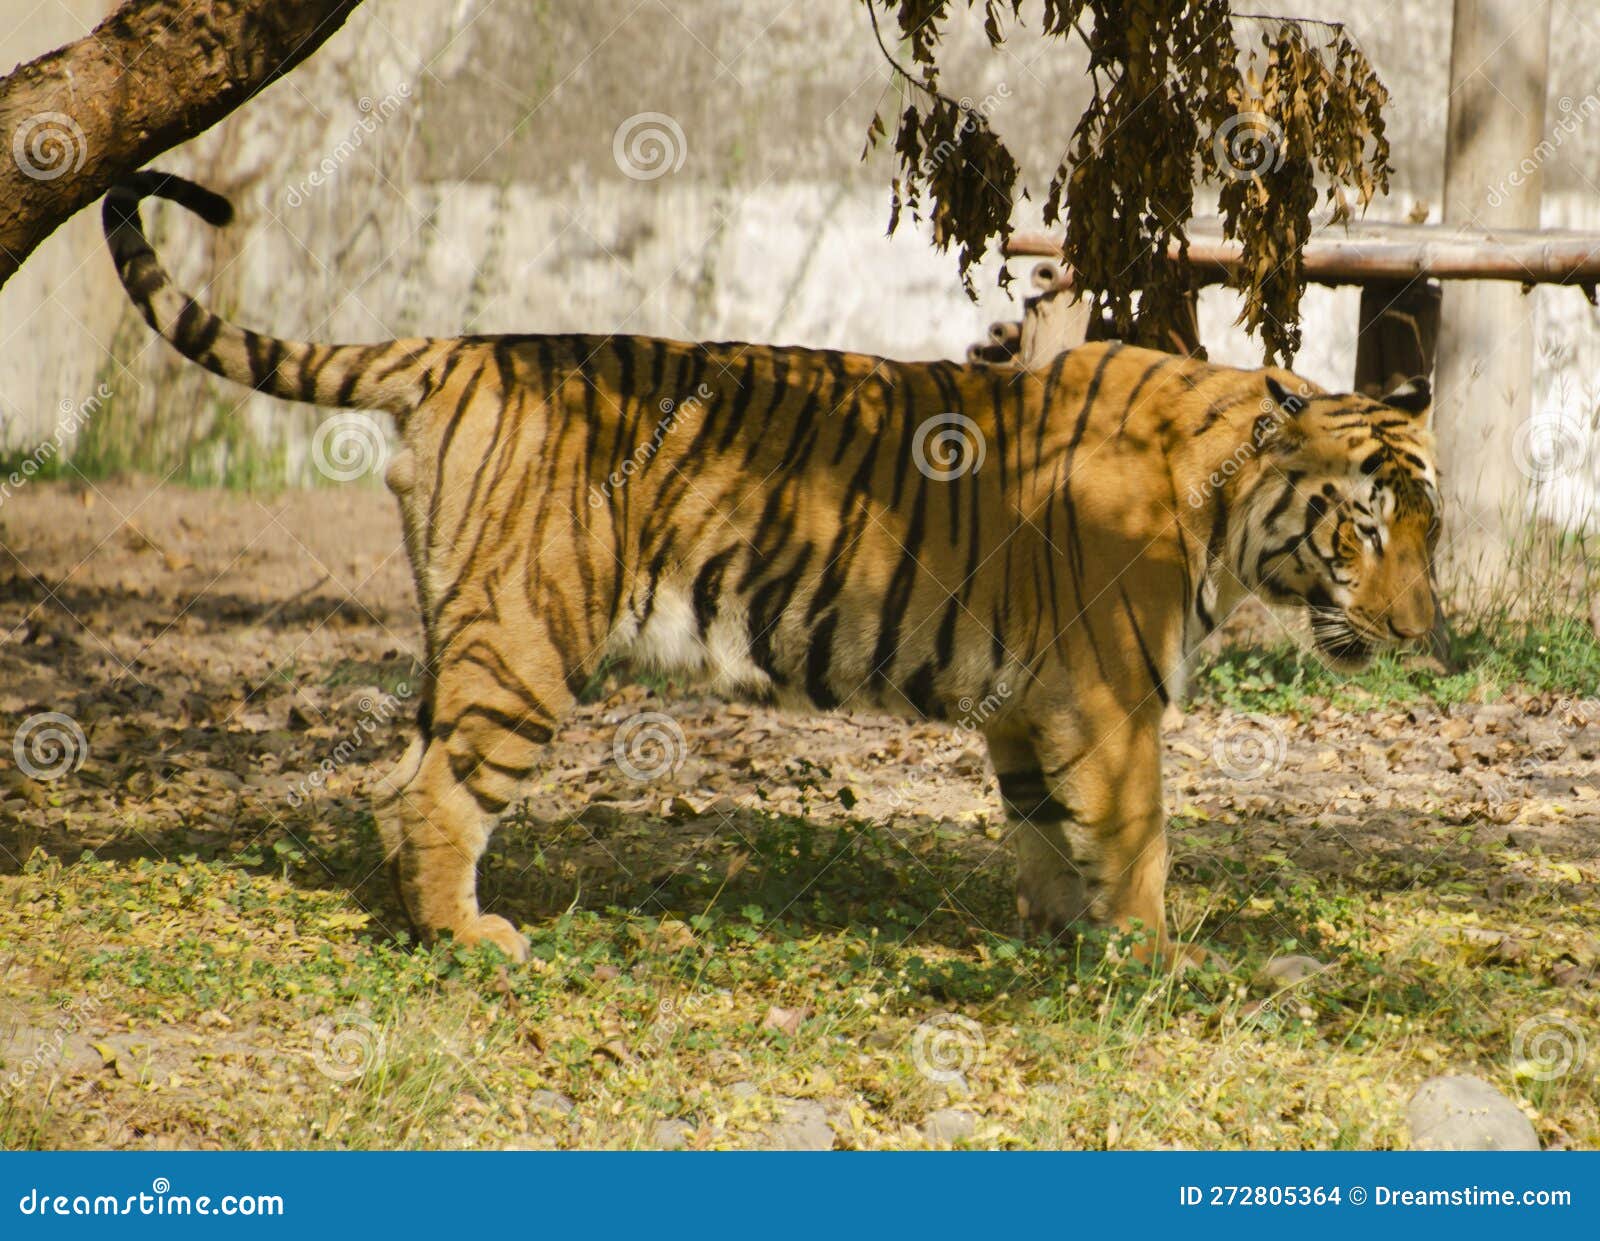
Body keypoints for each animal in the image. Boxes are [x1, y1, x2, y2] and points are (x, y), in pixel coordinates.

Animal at [102, 171, 1441, 967]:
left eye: (1435, 532)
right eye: (1367, 528)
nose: (1422, 631)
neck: (1222, 500)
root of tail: (461, 347)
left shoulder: (1031, 706)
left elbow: (1045, 833)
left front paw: (1061, 944)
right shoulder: (1110, 706)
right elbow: (1135, 835)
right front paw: (1156, 961)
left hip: (462, 632)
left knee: (395, 778)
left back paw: (411, 922)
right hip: (527, 638)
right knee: (435, 792)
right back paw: (474, 941)